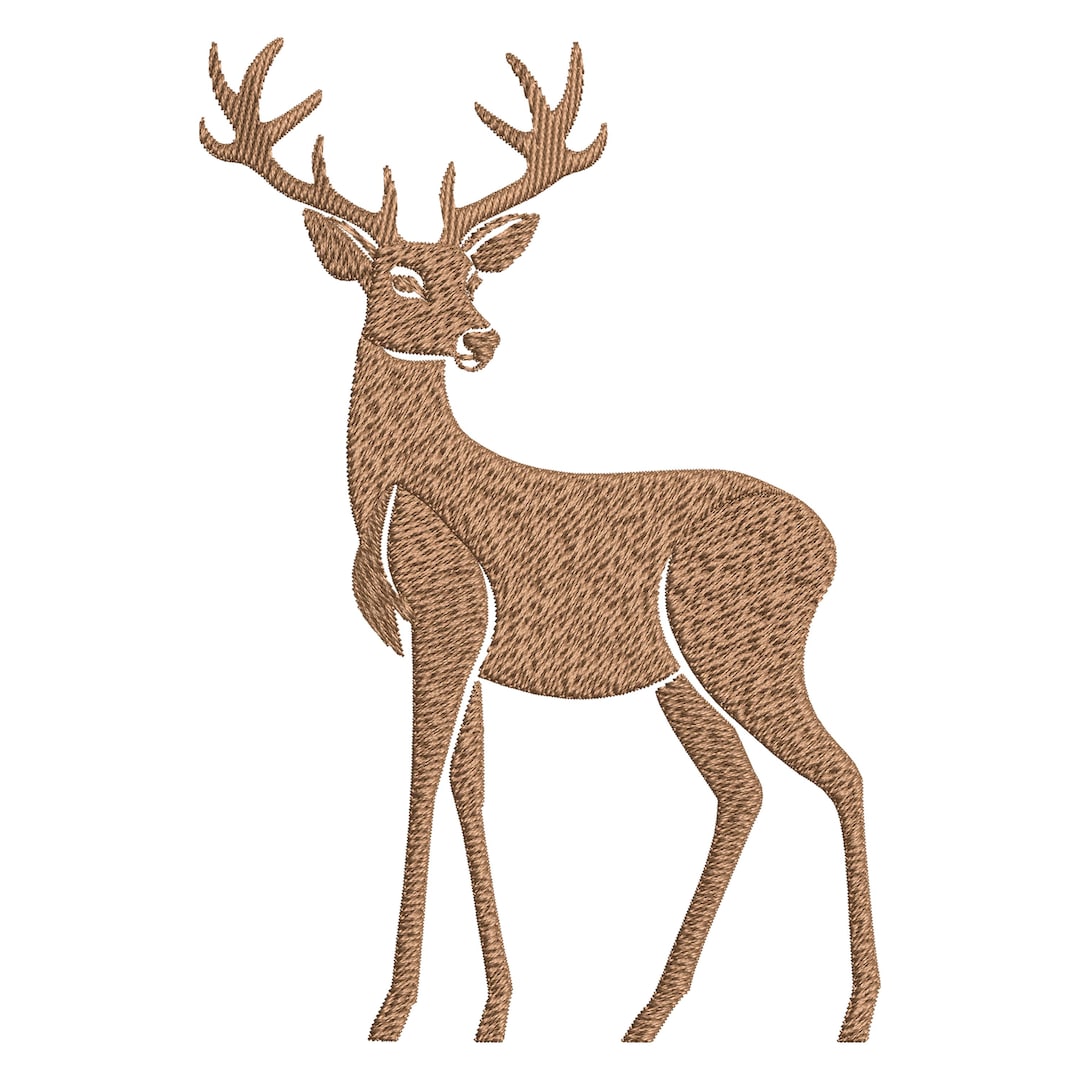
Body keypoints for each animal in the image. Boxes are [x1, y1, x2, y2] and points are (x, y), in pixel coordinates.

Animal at [199, 37, 879, 1044]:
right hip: (682, 675)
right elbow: (467, 789)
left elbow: (418, 779)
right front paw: (494, 1013)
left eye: (475, 276)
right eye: (401, 277)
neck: (394, 496)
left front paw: (390, 1012)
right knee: (744, 790)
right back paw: (647, 1015)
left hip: (744, 648)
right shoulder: (458, 640)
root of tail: (830, 543)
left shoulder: (445, 608)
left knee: (841, 770)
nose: (481, 338)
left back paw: (855, 1015)